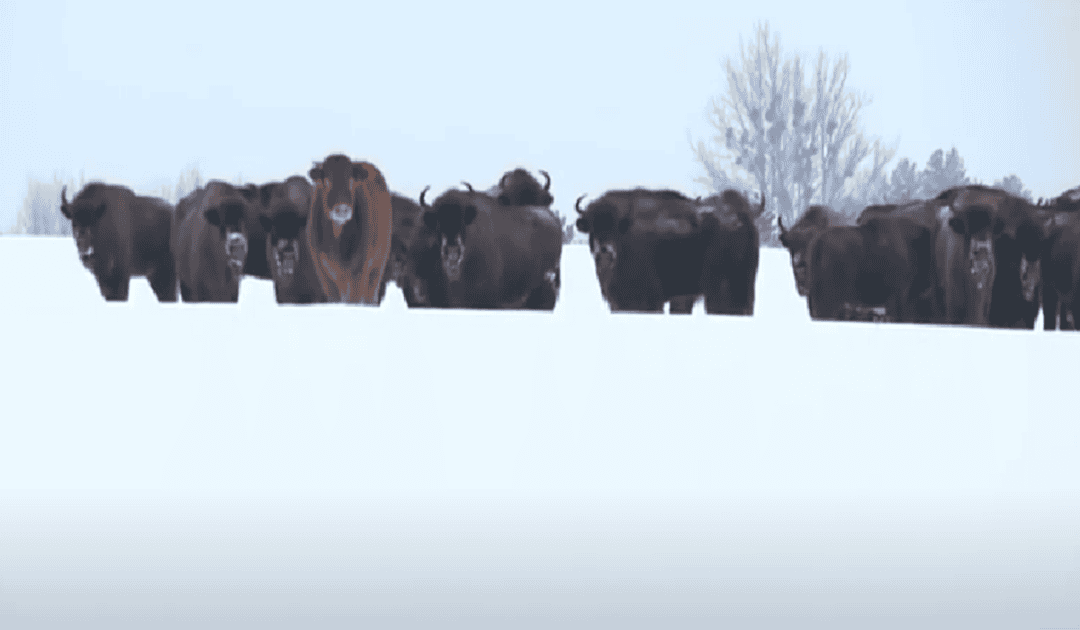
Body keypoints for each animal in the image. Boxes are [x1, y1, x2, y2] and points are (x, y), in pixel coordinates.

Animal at [306, 154, 394, 305]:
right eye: (327, 181)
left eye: (351, 181)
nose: (342, 209)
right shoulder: (324, 273)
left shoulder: (360, 271)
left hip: (378, 265)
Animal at [574, 188, 759, 315]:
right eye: (593, 226)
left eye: (615, 227)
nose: (605, 250)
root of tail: (740, 217)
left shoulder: (645, 298)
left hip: (719, 285)